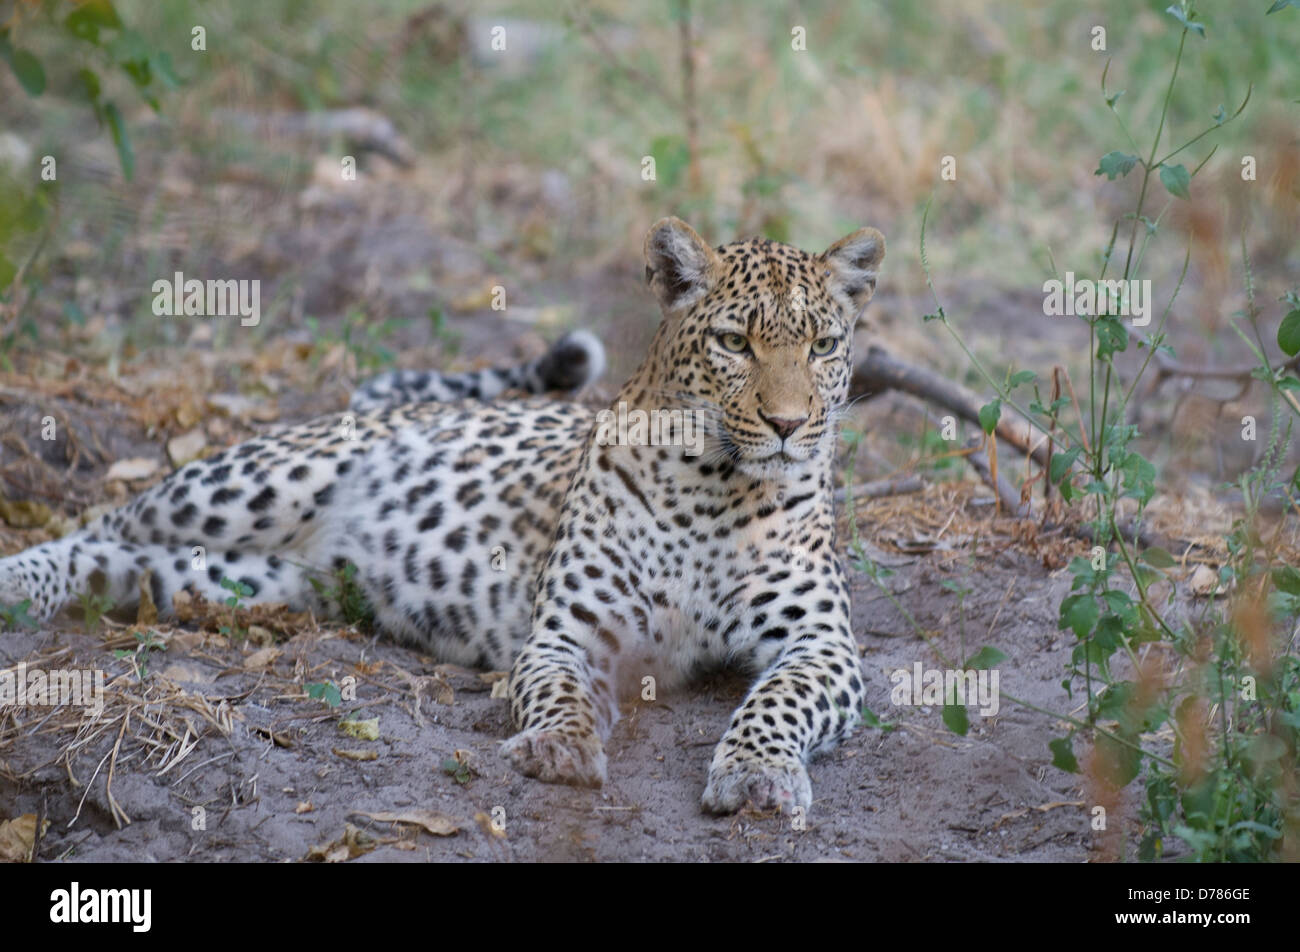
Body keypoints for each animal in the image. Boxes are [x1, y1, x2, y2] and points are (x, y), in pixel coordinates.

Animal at [0, 217, 885, 814]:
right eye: (735, 343)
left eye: (823, 346)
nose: (788, 424)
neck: (716, 488)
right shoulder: (568, 632)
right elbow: (560, 692)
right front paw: (560, 748)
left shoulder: (821, 645)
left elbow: (778, 701)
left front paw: (760, 773)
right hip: (247, 486)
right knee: (107, 521)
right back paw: (17, 579)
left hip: (260, 577)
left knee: (129, 567)